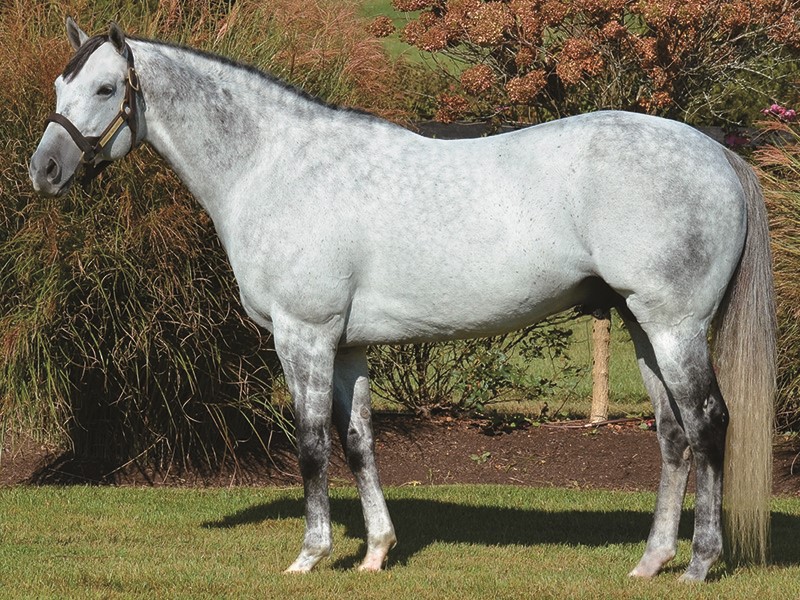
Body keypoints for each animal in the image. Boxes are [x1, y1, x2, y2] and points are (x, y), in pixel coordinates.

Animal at [29, 19, 776, 581]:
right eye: (62, 84)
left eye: (105, 87)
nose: (44, 170)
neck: (274, 165)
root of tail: (717, 154)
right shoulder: (349, 346)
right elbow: (359, 441)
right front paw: (376, 553)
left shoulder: (303, 335)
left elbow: (311, 445)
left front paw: (310, 556)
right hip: (643, 326)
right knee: (673, 434)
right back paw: (650, 562)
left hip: (676, 326)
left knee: (708, 423)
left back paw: (700, 565)